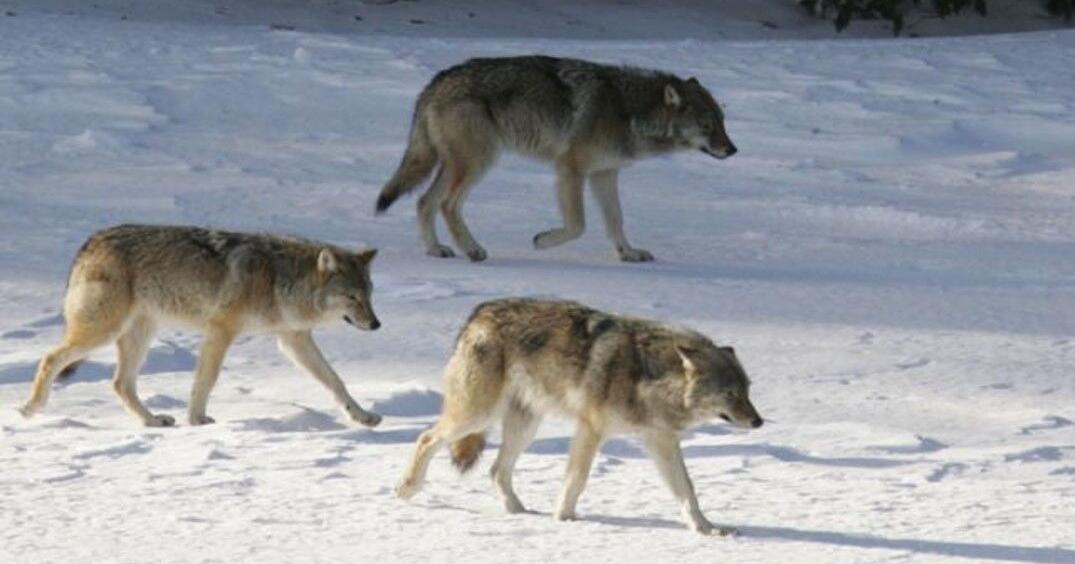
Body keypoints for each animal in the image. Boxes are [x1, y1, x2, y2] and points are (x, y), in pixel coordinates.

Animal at [19, 224, 383, 428]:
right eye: (352, 297)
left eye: (369, 295)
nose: (377, 324)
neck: (279, 280)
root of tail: (91, 241)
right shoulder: (220, 332)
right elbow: (205, 381)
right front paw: (197, 420)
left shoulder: (293, 340)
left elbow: (335, 382)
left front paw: (363, 417)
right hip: (103, 332)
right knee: (50, 358)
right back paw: (30, 408)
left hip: (138, 336)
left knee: (121, 384)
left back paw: (153, 421)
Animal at [375, 55, 736, 263]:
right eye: (707, 126)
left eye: (722, 121)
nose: (732, 150)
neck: (627, 112)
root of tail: (435, 82)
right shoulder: (570, 169)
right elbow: (578, 225)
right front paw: (543, 241)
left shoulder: (605, 174)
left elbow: (616, 221)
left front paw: (628, 253)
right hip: (479, 162)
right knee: (447, 204)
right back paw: (473, 251)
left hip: (455, 165)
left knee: (424, 201)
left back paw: (436, 250)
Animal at [396, 298, 762, 536]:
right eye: (730, 394)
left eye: (747, 390)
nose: (758, 422)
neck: (648, 375)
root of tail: (478, 313)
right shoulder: (591, 429)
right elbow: (577, 479)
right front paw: (566, 519)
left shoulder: (662, 441)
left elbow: (687, 490)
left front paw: (706, 528)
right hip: (477, 415)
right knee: (426, 438)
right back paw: (407, 489)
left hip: (524, 426)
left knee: (496, 469)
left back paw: (519, 511)